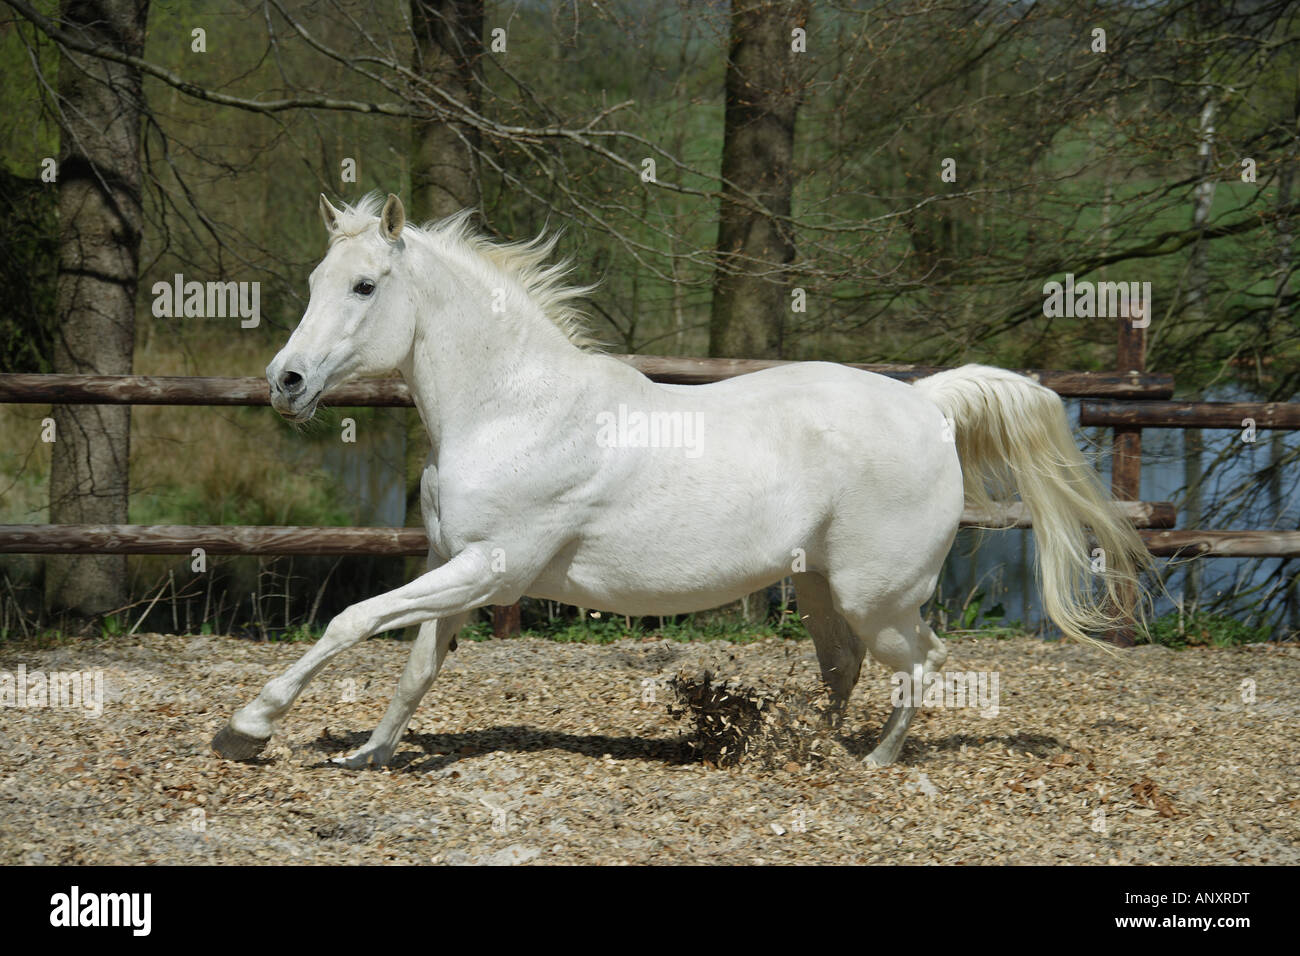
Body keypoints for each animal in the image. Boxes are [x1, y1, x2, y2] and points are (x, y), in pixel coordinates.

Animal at [211, 192, 1150, 769]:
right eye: (316, 281)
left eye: (366, 285)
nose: (285, 382)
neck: (512, 407)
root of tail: (926, 404)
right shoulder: (460, 569)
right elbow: (413, 668)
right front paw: (367, 753)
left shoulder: (489, 568)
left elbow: (352, 620)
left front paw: (248, 728)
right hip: (820, 587)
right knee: (842, 667)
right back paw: (803, 748)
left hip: (877, 594)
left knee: (922, 662)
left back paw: (876, 761)